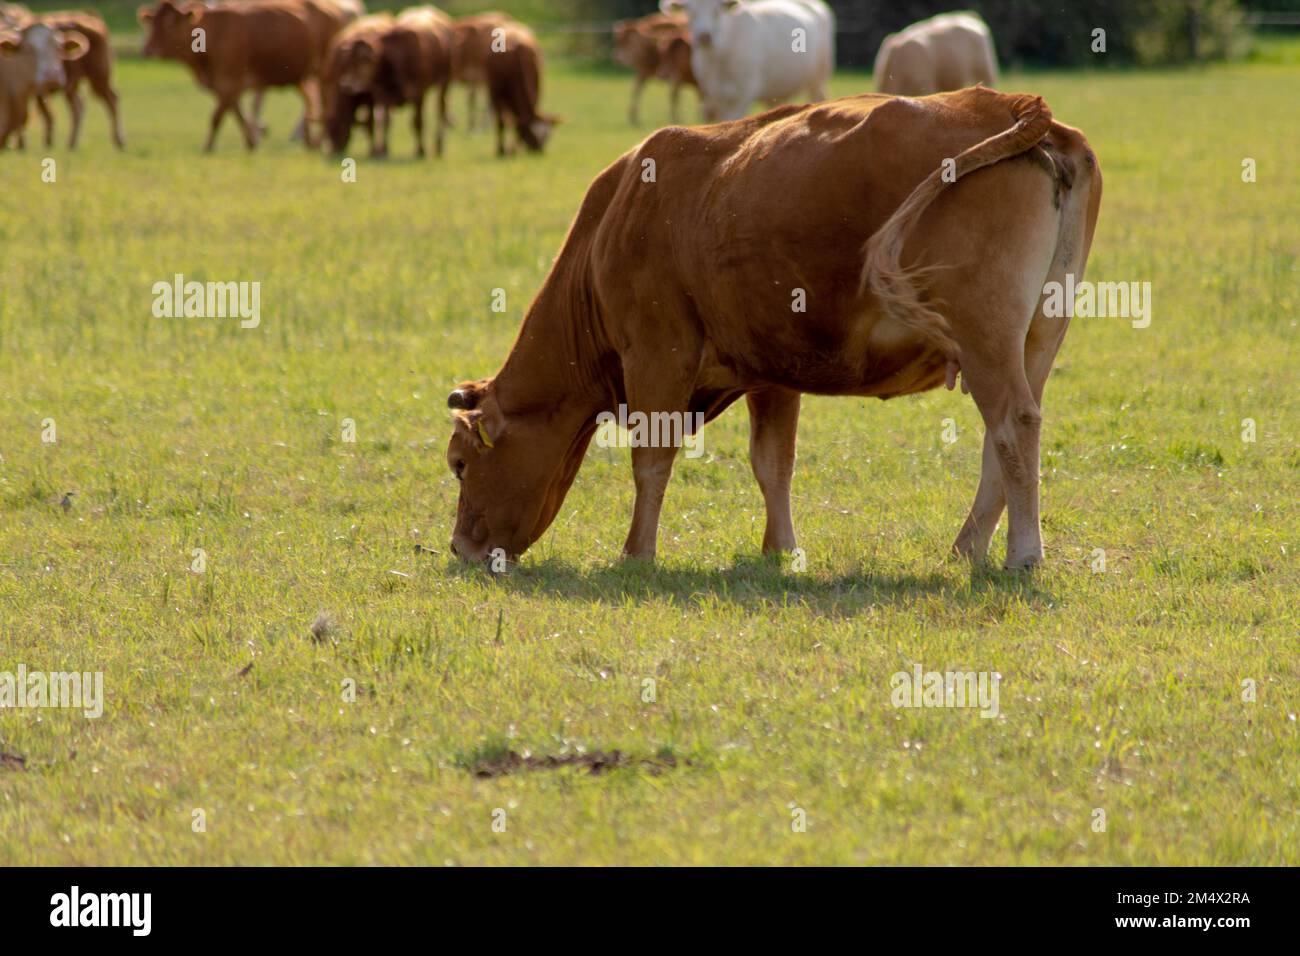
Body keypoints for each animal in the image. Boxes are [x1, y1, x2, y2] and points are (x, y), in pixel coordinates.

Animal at [30, 11, 125, 150]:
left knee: (111, 100)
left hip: (98, 77)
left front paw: (47, 142)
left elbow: (46, 113)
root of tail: (94, 21)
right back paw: (72, 143)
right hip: (74, 85)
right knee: (79, 107)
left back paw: (119, 140)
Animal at [138, 0, 322, 151]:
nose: (147, 50)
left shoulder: (230, 83)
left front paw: (208, 147)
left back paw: (313, 139)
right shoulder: (226, 87)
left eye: (170, 25)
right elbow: (237, 113)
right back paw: (309, 139)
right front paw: (251, 141)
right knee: (309, 103)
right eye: (152, 24)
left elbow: (217, 116)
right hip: (300, 78)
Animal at [443, 88, 1102, 571]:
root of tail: (1007, 103)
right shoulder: (771, 371)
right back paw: (967, 547)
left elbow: (651, 459)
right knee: (1007, 434)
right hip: (1038, 336)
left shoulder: (657, 353)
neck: (617, 217)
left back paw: (1024, 554)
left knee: (1013, 423)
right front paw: (779, 549)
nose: (459, 549)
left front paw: (636, 554)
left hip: (986, 336)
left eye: (458, 464)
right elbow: (772, 464)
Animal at [484, 21, 557, 156]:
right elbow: (501, 122)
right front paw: (501, 150)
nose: (537, 151)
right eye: (530, 134)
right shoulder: (495, 94)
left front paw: (514, 150)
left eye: (547, 136)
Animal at [661, 0, 833, 122]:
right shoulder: (710, 95)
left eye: (717, 11)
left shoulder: (743, 94)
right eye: (691, 13)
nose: (704, 36)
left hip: (817, 80)